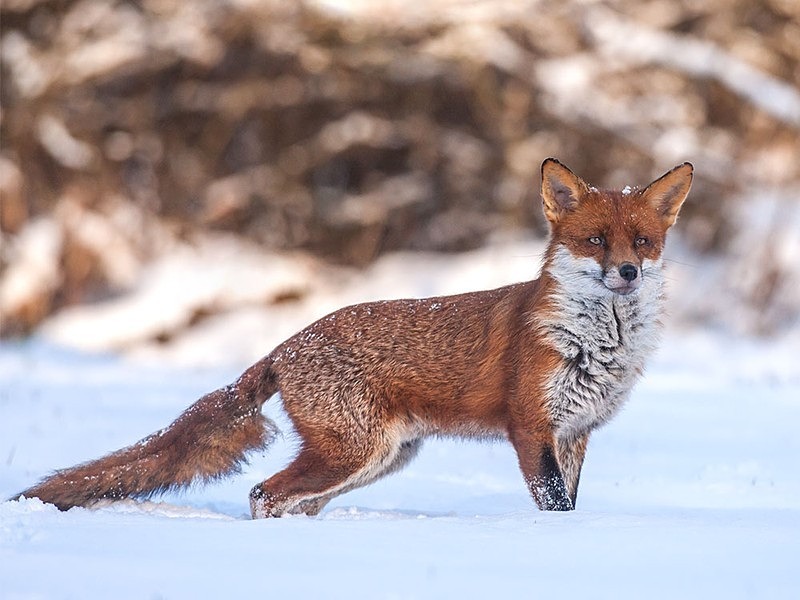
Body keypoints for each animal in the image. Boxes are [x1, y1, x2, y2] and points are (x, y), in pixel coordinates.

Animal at [12, 158, 693, 517]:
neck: (595, 343)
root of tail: (286, 344)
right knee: (263, 493)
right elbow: (552, 504)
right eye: (596, 241)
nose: (628, 273)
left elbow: (569, 502)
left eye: (642, 243)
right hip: (353, 452)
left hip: (380, 458)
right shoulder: (531, 427)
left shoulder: (575, 432)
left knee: (290, 501)